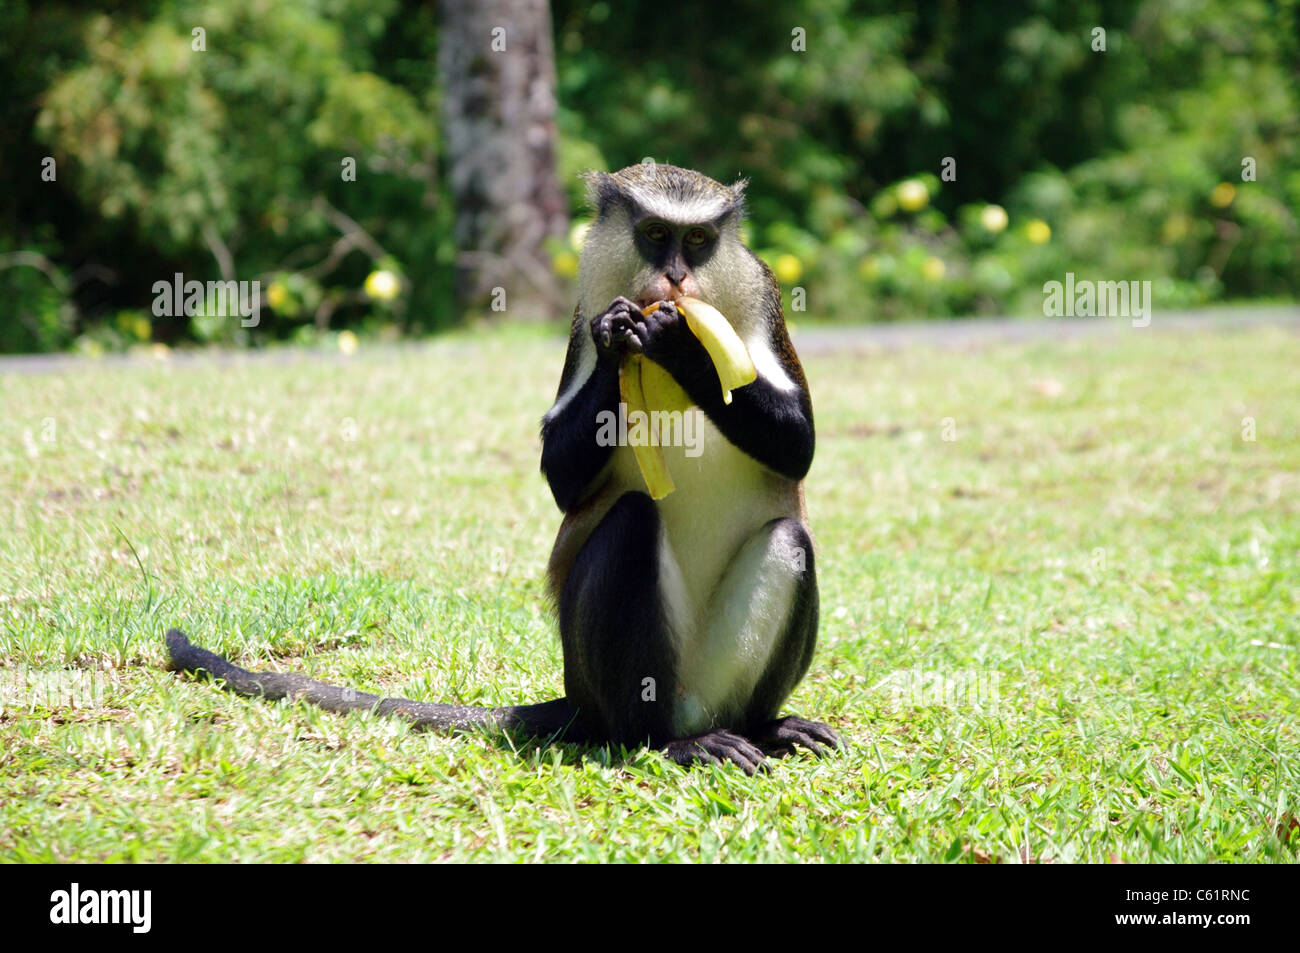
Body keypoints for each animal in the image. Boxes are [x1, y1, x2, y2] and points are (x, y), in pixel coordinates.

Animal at [167, 162, 839, 774]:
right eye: (654, 234)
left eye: (697, 240)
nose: (676, 276)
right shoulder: (583, 310)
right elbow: (563, 475)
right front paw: (621, 337)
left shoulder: (763, 299)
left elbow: (799, 442)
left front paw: (685, 345)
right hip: (610, 683)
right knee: (630, 523)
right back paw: (661, 742)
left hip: (714, 680)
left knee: (788, 539)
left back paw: (762, 726)